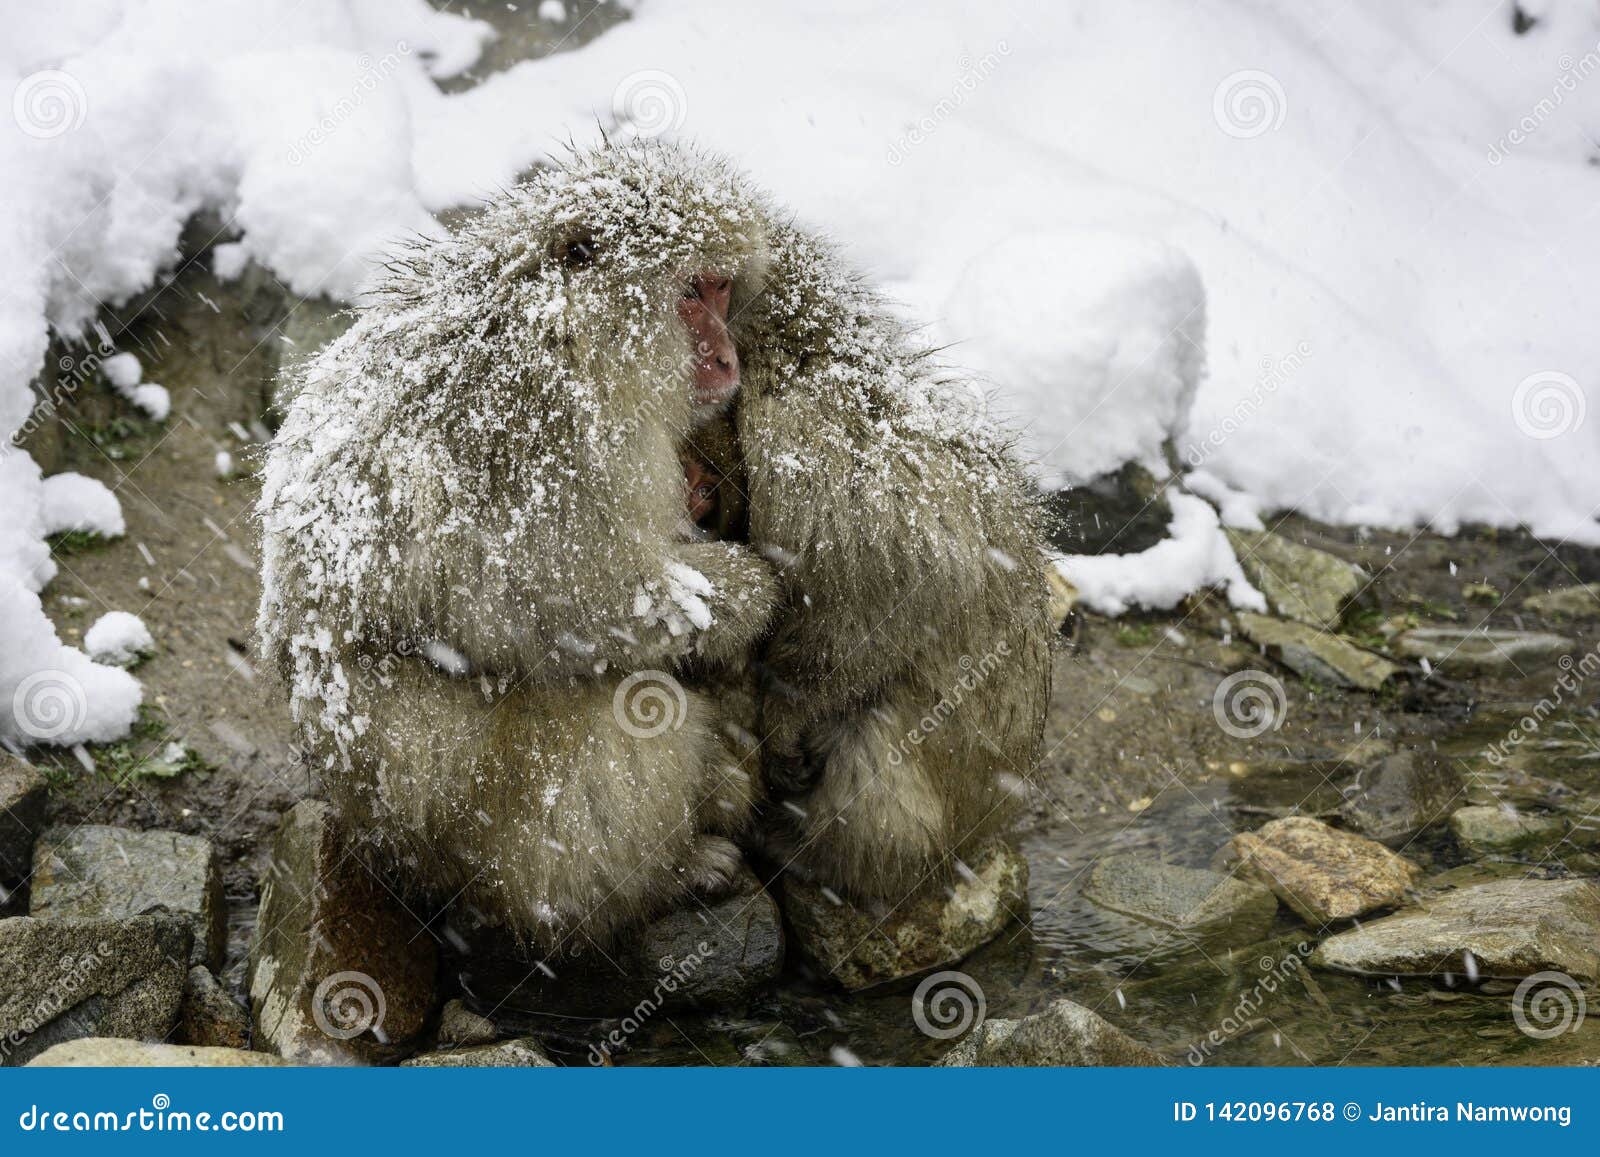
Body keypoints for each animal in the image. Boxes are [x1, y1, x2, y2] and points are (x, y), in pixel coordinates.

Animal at [256, 143, 784, 950]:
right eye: (693, 291)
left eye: (722, 290)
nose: (728, 358)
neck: (569, 336)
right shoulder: (552, 440)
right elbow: (579, 605)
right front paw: (750, 594)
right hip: (490, 821)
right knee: (630, 713)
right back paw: (664, 877)